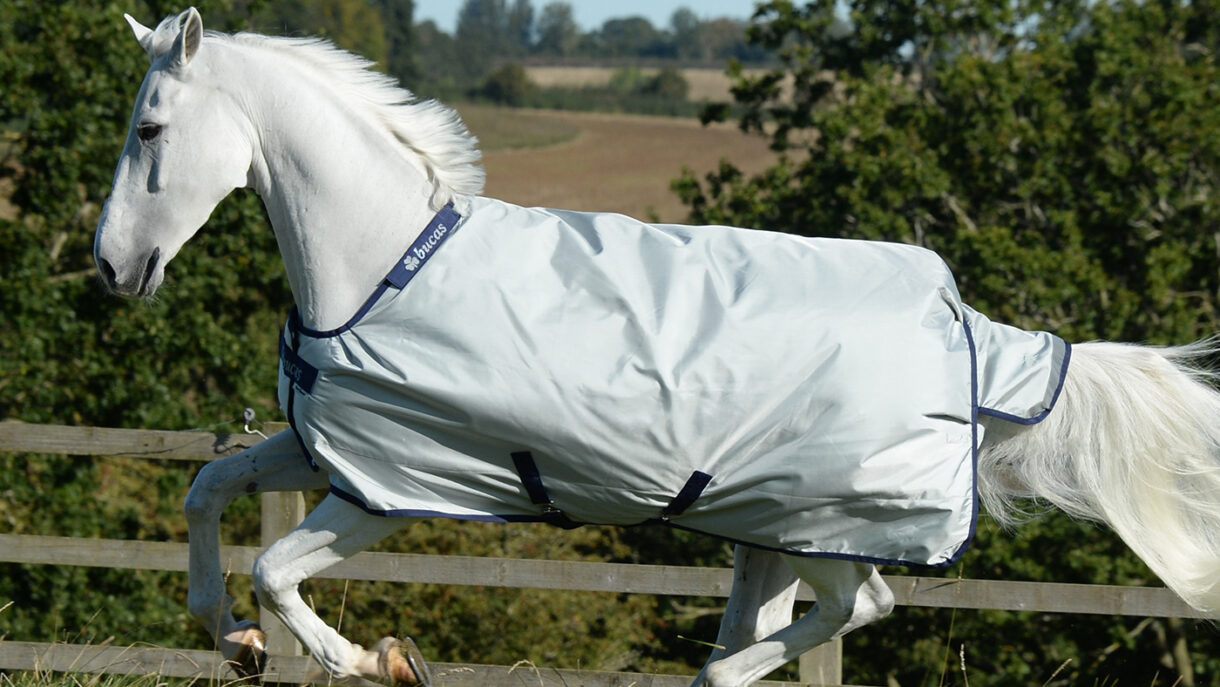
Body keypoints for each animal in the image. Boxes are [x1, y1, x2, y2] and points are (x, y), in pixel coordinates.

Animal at [93, 8, 1220, 687]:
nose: (110, 265)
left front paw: (379, 660)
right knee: (790, 623)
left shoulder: (394, 487)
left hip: (822, 526)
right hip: (769, 532)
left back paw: (717, 674)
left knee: (861, 604)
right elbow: (207, 491)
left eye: (150, 129)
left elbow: (279, 568)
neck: (384, 263)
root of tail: (967, 326)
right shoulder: (327, 451)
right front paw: (232, 637)